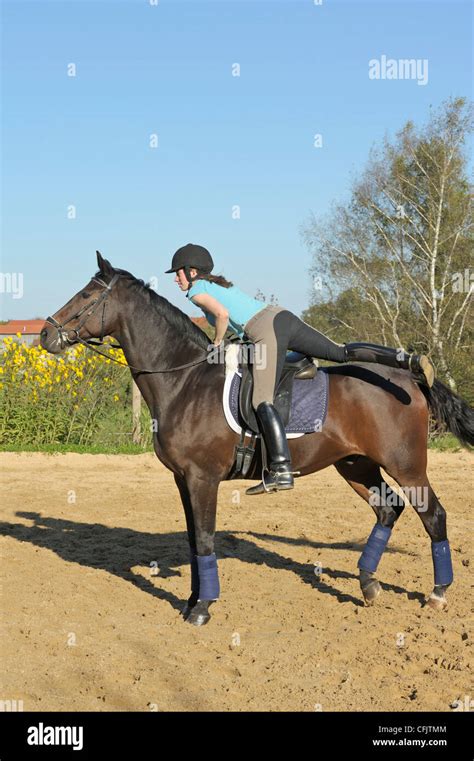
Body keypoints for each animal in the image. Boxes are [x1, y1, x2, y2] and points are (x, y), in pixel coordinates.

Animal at [39, 252, 474, 626]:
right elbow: (193, 541)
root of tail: (410, 384)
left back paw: (438, 592)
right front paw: (191, 601)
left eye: (87, 295)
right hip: (355, 464)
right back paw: (368, 584)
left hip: (406, 465)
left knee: (432, 515)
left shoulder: (203, 478)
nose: (45, 334)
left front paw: (203, 610)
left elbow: (205, 539)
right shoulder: (183, 479)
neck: (182, 380)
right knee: (387, 510)